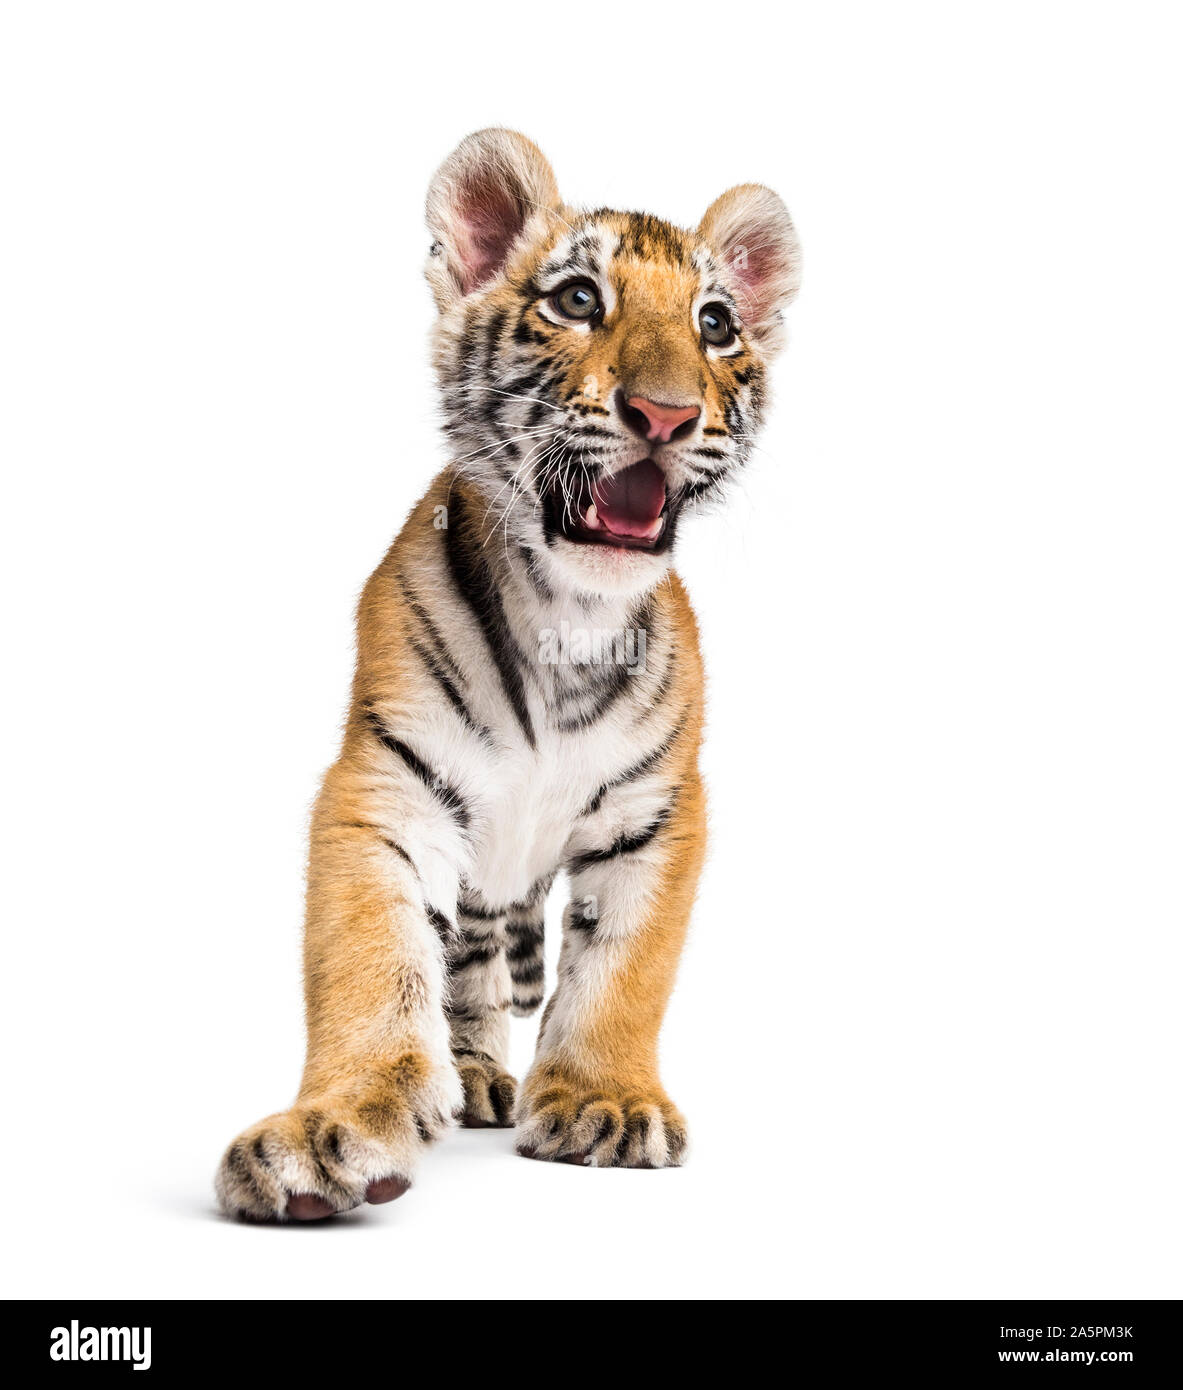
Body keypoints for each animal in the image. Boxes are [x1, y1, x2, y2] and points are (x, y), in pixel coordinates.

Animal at [215, 128, 801, 1220]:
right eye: (576, 300)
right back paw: (478, 1072)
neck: (570, 618)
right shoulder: (383, 787)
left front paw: (606, 1100)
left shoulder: (662, 808)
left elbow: (623, 966)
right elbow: (373, 962)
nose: (664, 414)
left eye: (715, 324)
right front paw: (327, 1133)